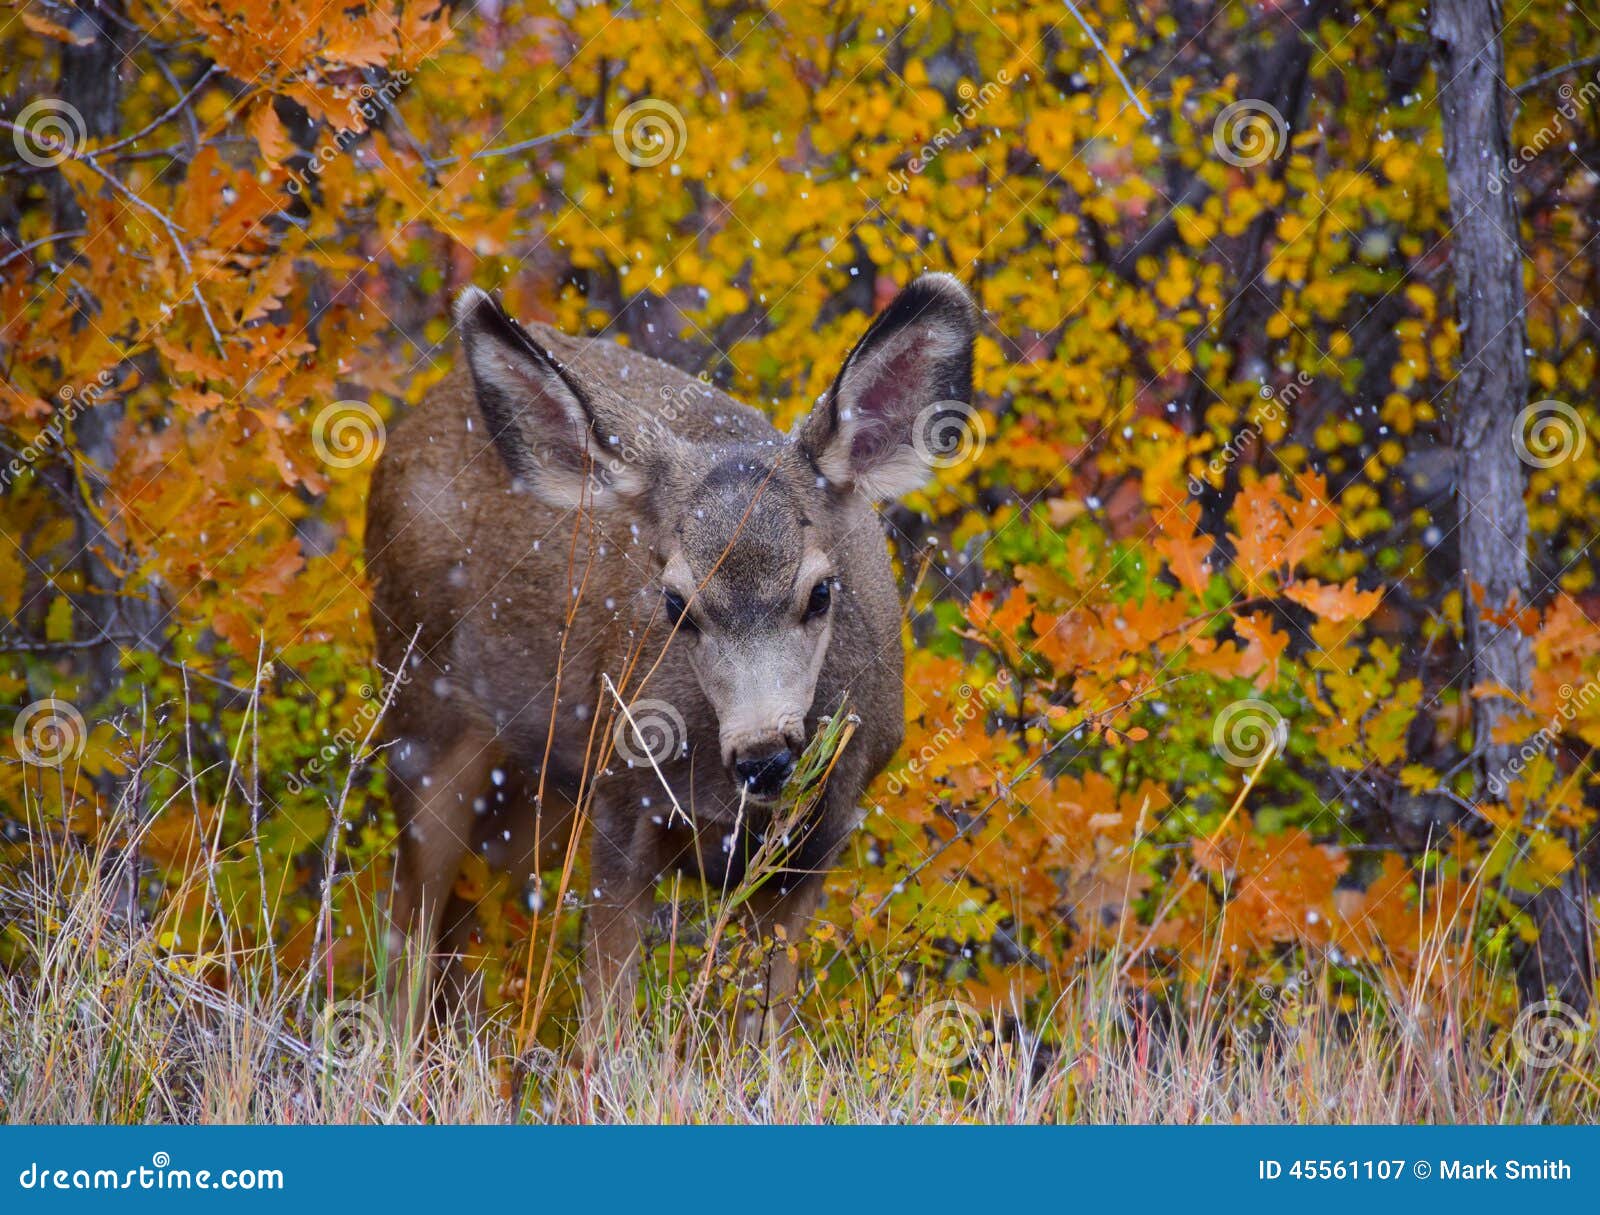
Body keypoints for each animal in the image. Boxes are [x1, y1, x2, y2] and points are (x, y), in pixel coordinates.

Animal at [365, 272, 977, 1047]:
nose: (764, 755)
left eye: (820, 590)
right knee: (408, 932)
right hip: (421, 712)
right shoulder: (621, 800)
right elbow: (607, 1020)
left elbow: (765, 1033)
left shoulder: (818, 842)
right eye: (676, 602)